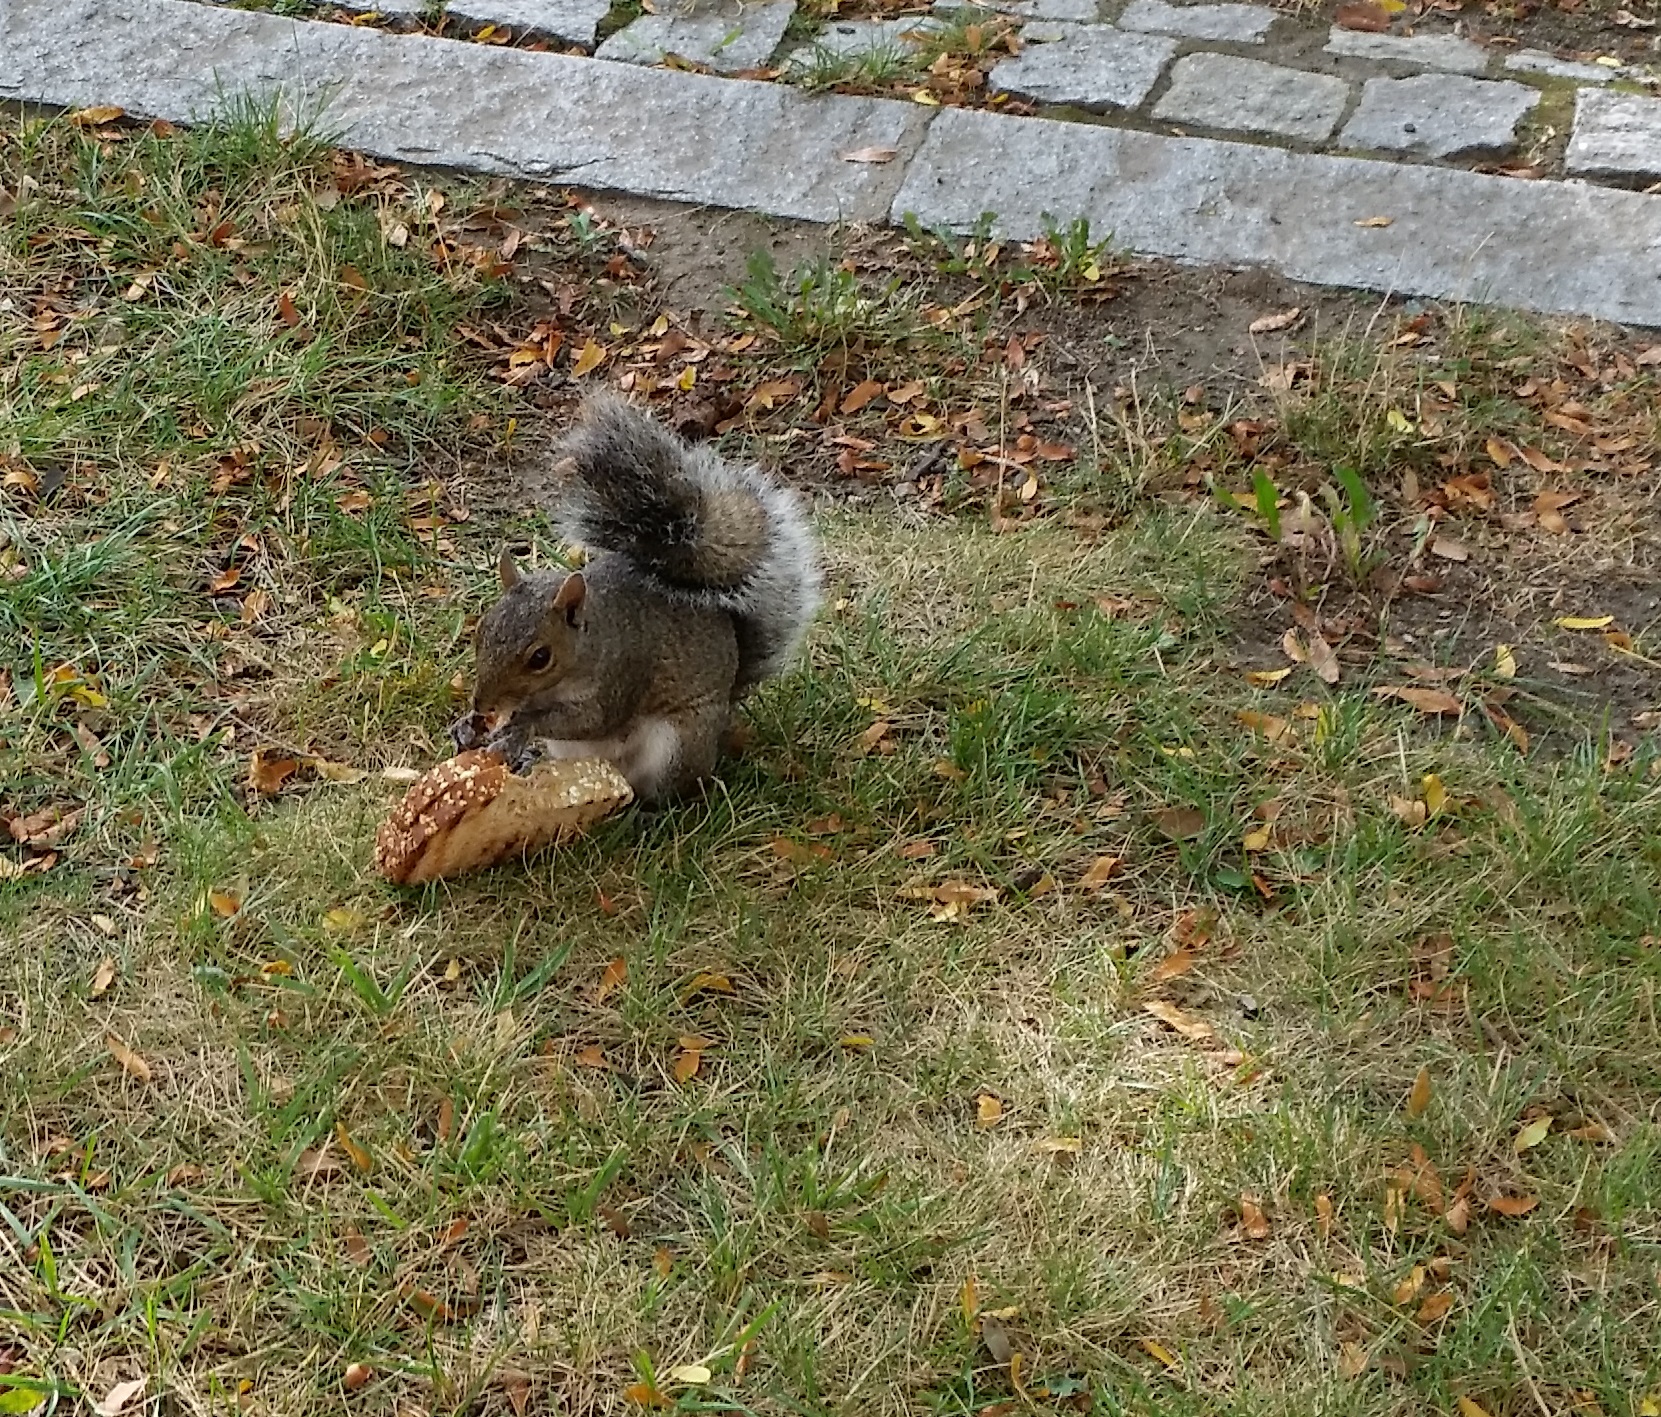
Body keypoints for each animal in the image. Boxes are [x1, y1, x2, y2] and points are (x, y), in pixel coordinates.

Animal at [451, 393, 822, 804]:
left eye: (540, 658)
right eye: (480, 633)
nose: (482, 704)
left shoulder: (621, 674)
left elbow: (590, 719)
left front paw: (519, 728)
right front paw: (469, 726)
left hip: (678, 746)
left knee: (666, 793)